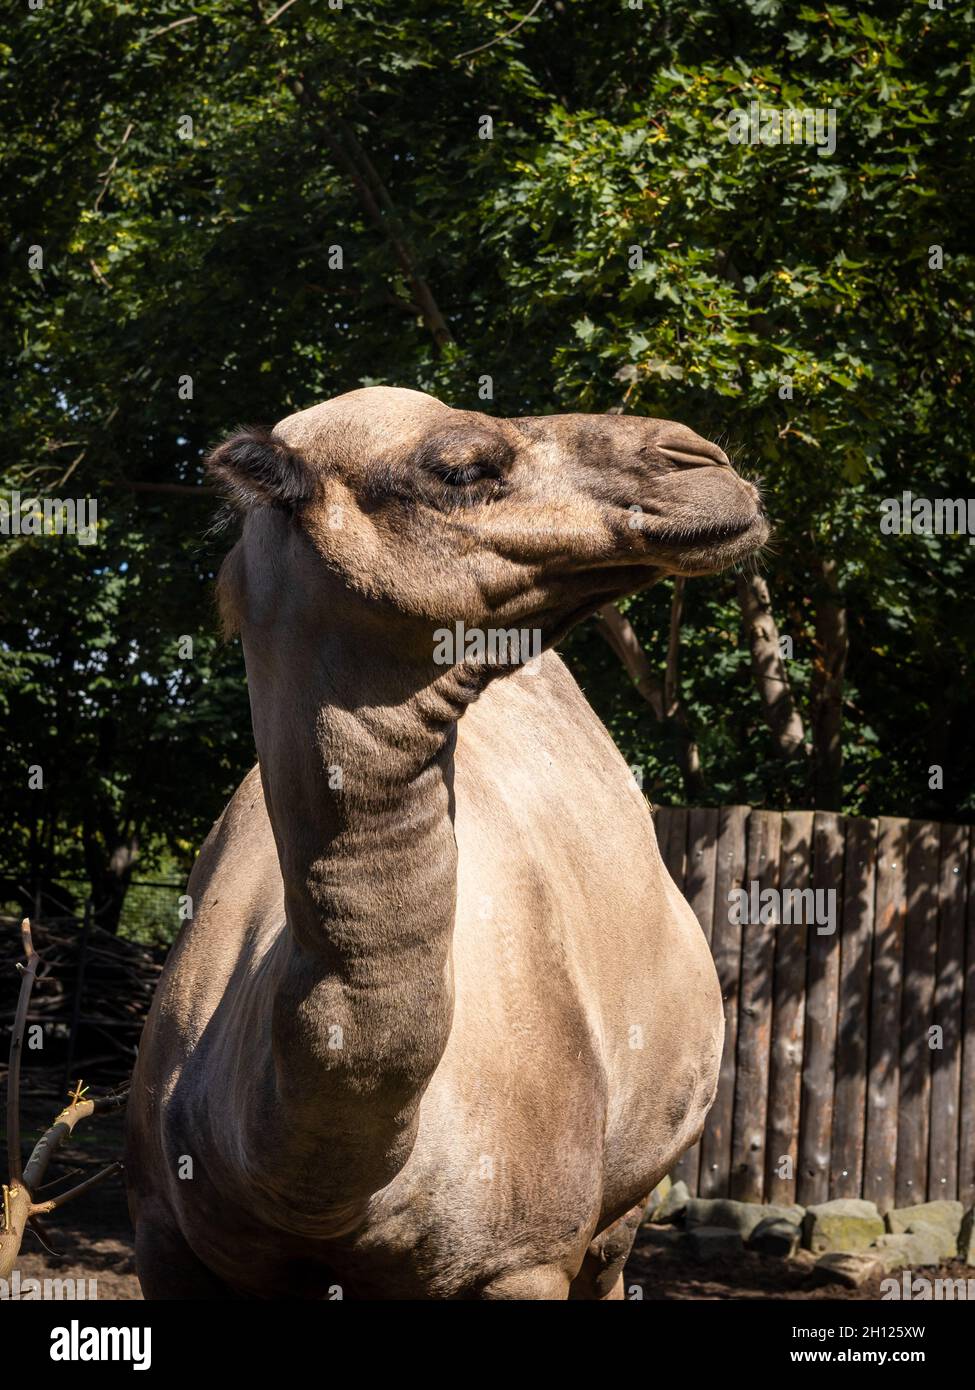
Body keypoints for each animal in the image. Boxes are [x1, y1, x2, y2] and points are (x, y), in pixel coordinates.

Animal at [126, 387, 767, 1299]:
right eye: (460, 468)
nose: (701, 461)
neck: (320, 1191)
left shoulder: (523, 1257)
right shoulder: (158, 1230)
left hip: (629, 1199)